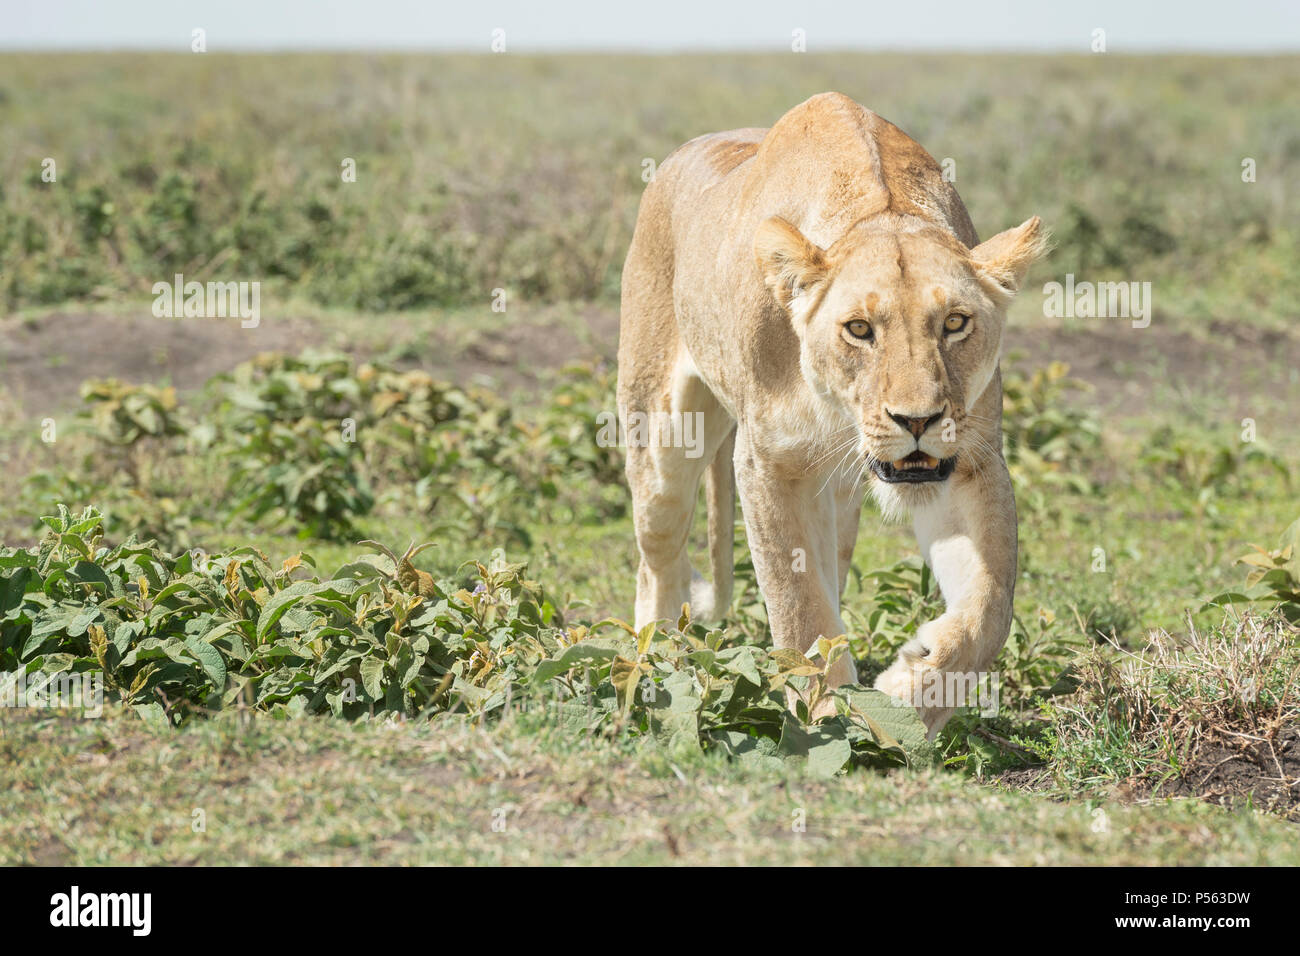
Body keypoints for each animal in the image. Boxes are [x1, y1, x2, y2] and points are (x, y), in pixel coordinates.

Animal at [617, 92, 1048, 735]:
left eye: (954, 323)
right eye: (860, 329)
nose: (917, 421)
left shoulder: (970, 460)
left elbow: (991, 603)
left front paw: (913, 693)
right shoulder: (767, 461)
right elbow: (797, 604)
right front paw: (829, 718)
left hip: (838, 495)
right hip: (661, 432)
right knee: (658, 557)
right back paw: (659, 661)